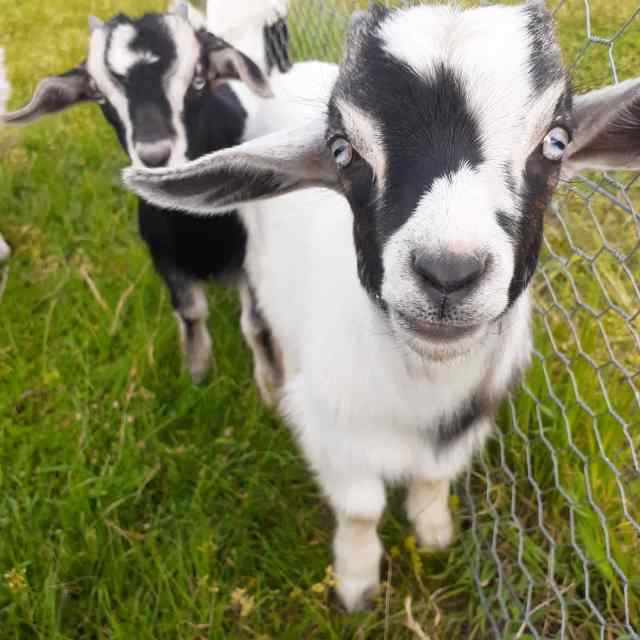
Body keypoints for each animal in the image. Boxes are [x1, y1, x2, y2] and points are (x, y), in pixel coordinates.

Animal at [1, 2, 286, 382]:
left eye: (198, 80)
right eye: (99, 95)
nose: (154, 155)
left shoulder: (250, 259)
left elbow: (256, 325)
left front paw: (272, 383)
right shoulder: (163, 258)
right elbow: (190, 311)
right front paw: (197, 371)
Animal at [126, 0, 640, 612]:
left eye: (556, 143)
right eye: (342, 151)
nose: (448, 272)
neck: (422, 388)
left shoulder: (469, 419)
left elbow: (435, 477)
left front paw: (434, 531)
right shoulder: (331, 429)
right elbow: (360, 509)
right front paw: (356, 582)